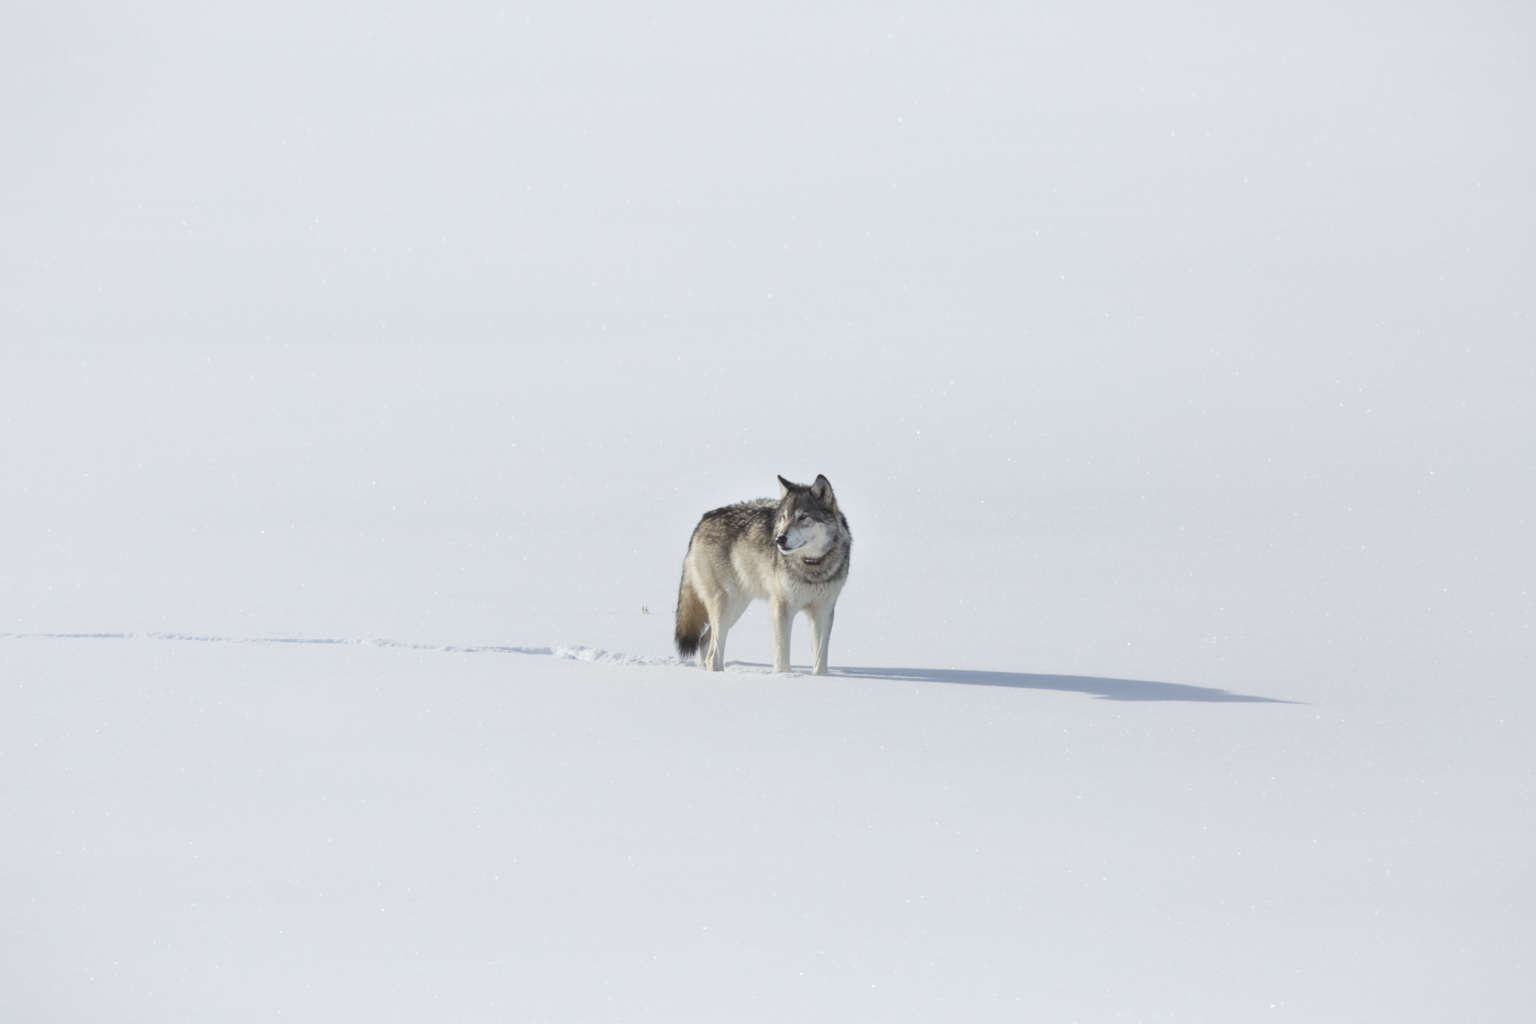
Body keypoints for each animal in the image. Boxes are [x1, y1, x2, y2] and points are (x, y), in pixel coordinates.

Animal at [674, 474, 852, 674]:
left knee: (704, 641)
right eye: (783, 517)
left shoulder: (823, 611)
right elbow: (782, 659)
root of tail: (702, 521)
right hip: (726, 606)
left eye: (803, 517)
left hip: (737, 608)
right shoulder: (781, 608)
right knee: (713, 655)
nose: (779, 539)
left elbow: (821, 661)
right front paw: (783, 677)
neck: (812, 566)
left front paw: (821, 678)